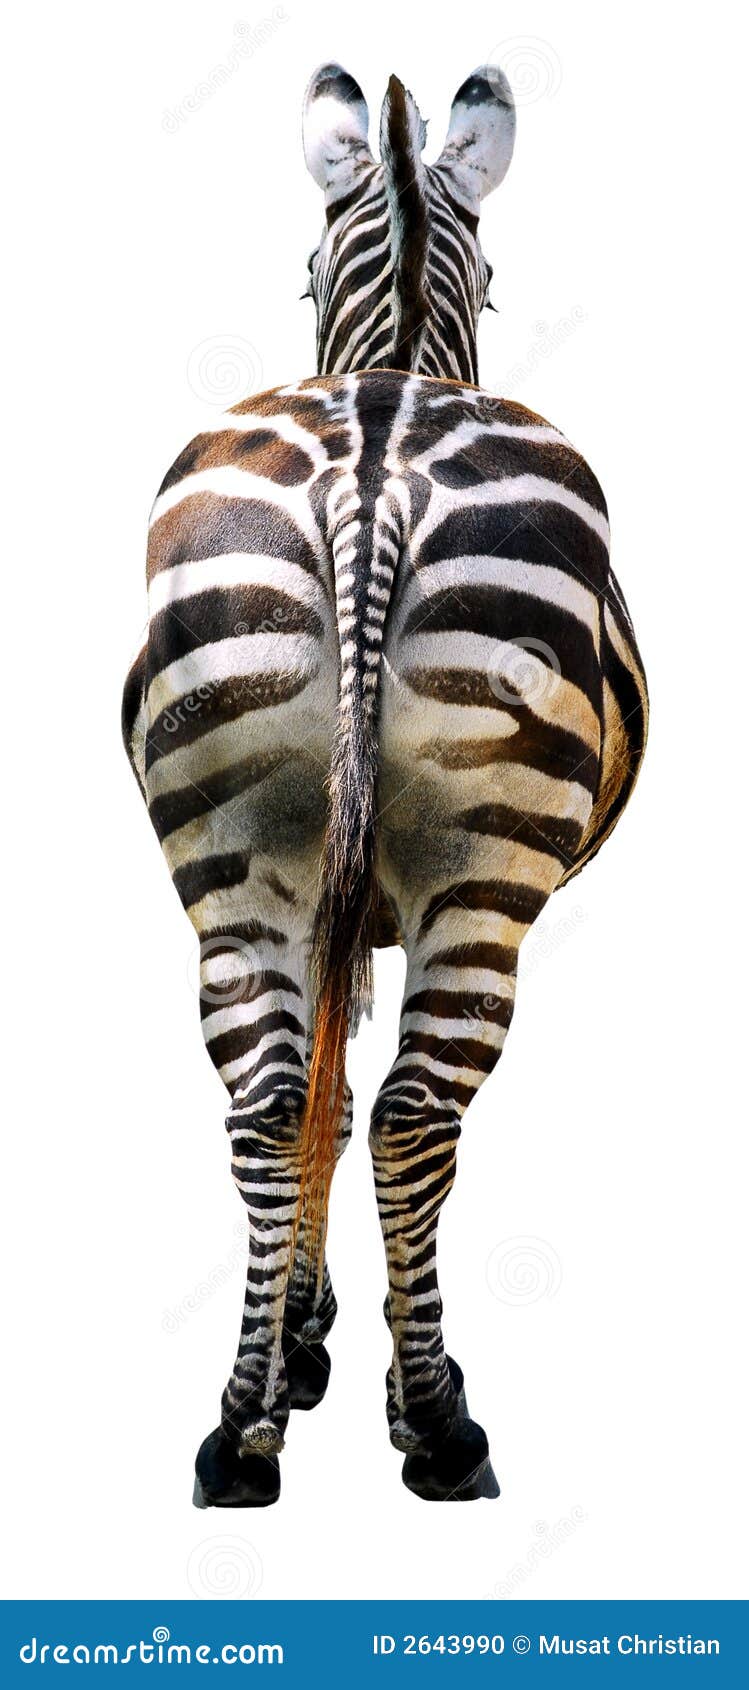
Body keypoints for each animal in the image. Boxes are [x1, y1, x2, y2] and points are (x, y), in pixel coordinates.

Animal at [122, 62, 647, 1506]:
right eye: (305, 276)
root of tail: (371, 452)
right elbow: (349, 1095)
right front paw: (317, 1345)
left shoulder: (325, 898)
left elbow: (319, 1092)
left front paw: (292, 1345)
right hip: (487, 869)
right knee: (415, 1116)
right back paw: (438, 1421)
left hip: (231, 847)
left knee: (263, 1105)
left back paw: (238, 1431)